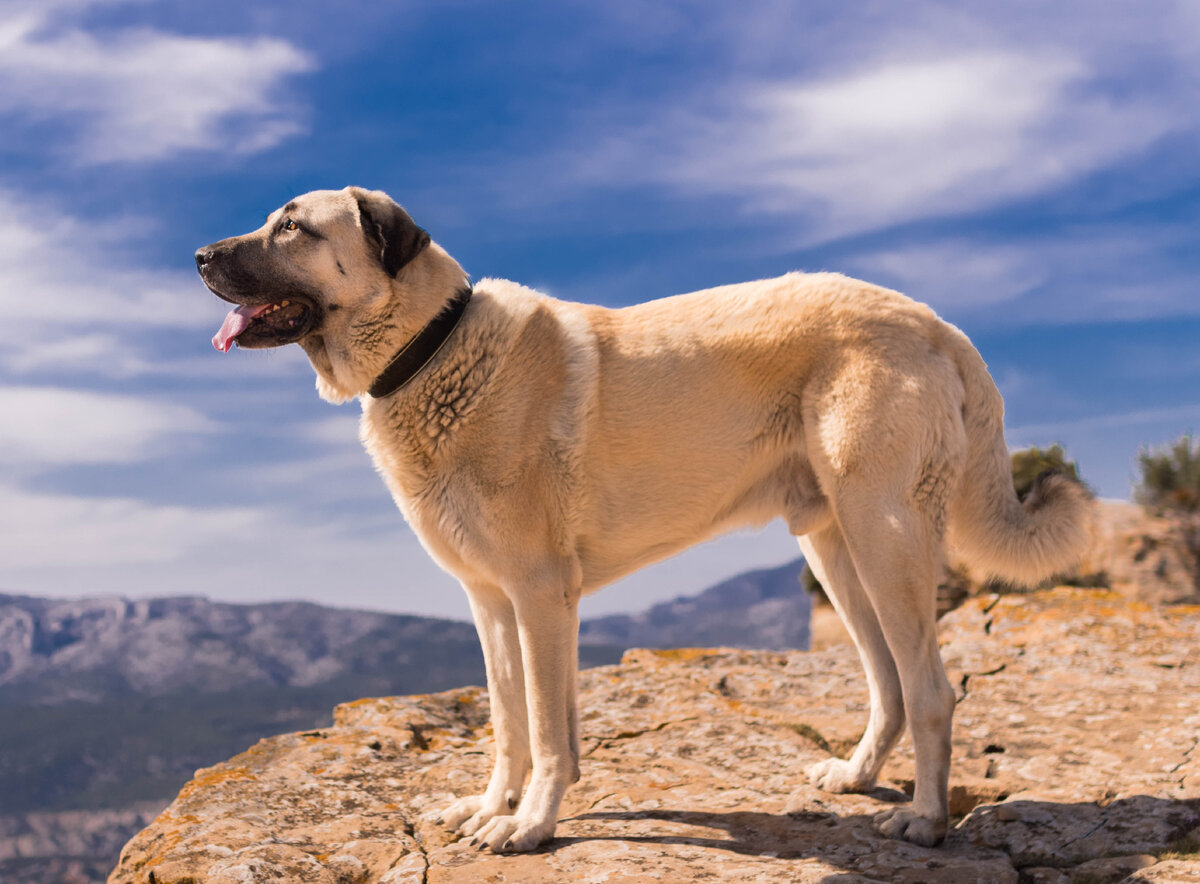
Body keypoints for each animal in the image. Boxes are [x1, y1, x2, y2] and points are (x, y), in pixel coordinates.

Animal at [196, 188, 1099, 854]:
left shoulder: (540, 595)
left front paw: (531, 825)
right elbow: (510, 723)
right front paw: (493, 805)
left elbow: (548, 731)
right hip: (835, 546)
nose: (200, 256)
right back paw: (855, 775)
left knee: (932, 688)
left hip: (886, 534)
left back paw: (925, 819)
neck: (432, 348)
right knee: (888, 683)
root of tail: (934, 321)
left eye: (292, 227)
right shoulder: (492, 604)